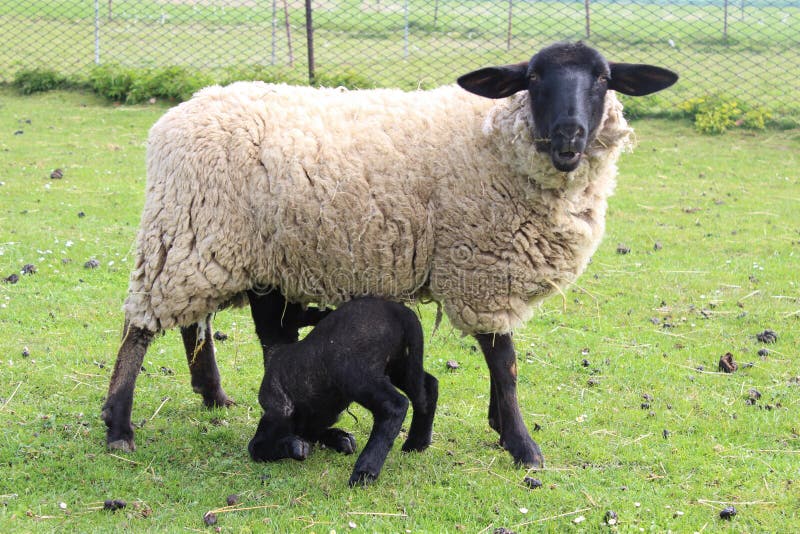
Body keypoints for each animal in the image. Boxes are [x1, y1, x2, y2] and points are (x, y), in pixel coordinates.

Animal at [102, 41, 677, 466]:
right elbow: (505, 360)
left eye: (603, 78)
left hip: (216, 245)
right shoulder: (481, 267)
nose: (569, 135)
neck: (498, 141)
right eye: (534, 78)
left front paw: (501, 427)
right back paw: (118, 424)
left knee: (192, 323)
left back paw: (213, 395)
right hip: (184, 231)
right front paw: (521, 444)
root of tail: (177, 114)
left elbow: (499, 363)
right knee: (140, 328)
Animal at [248, 296, 438, 486]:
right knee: (429, 386)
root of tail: (400, 312)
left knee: (395, 405)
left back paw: (364, 472)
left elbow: (256, 448)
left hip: (353, 373)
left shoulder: (278, 410)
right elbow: (312, 432)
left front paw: (294, 446)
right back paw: (416, 444)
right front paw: (341, 438)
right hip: (399, 364)